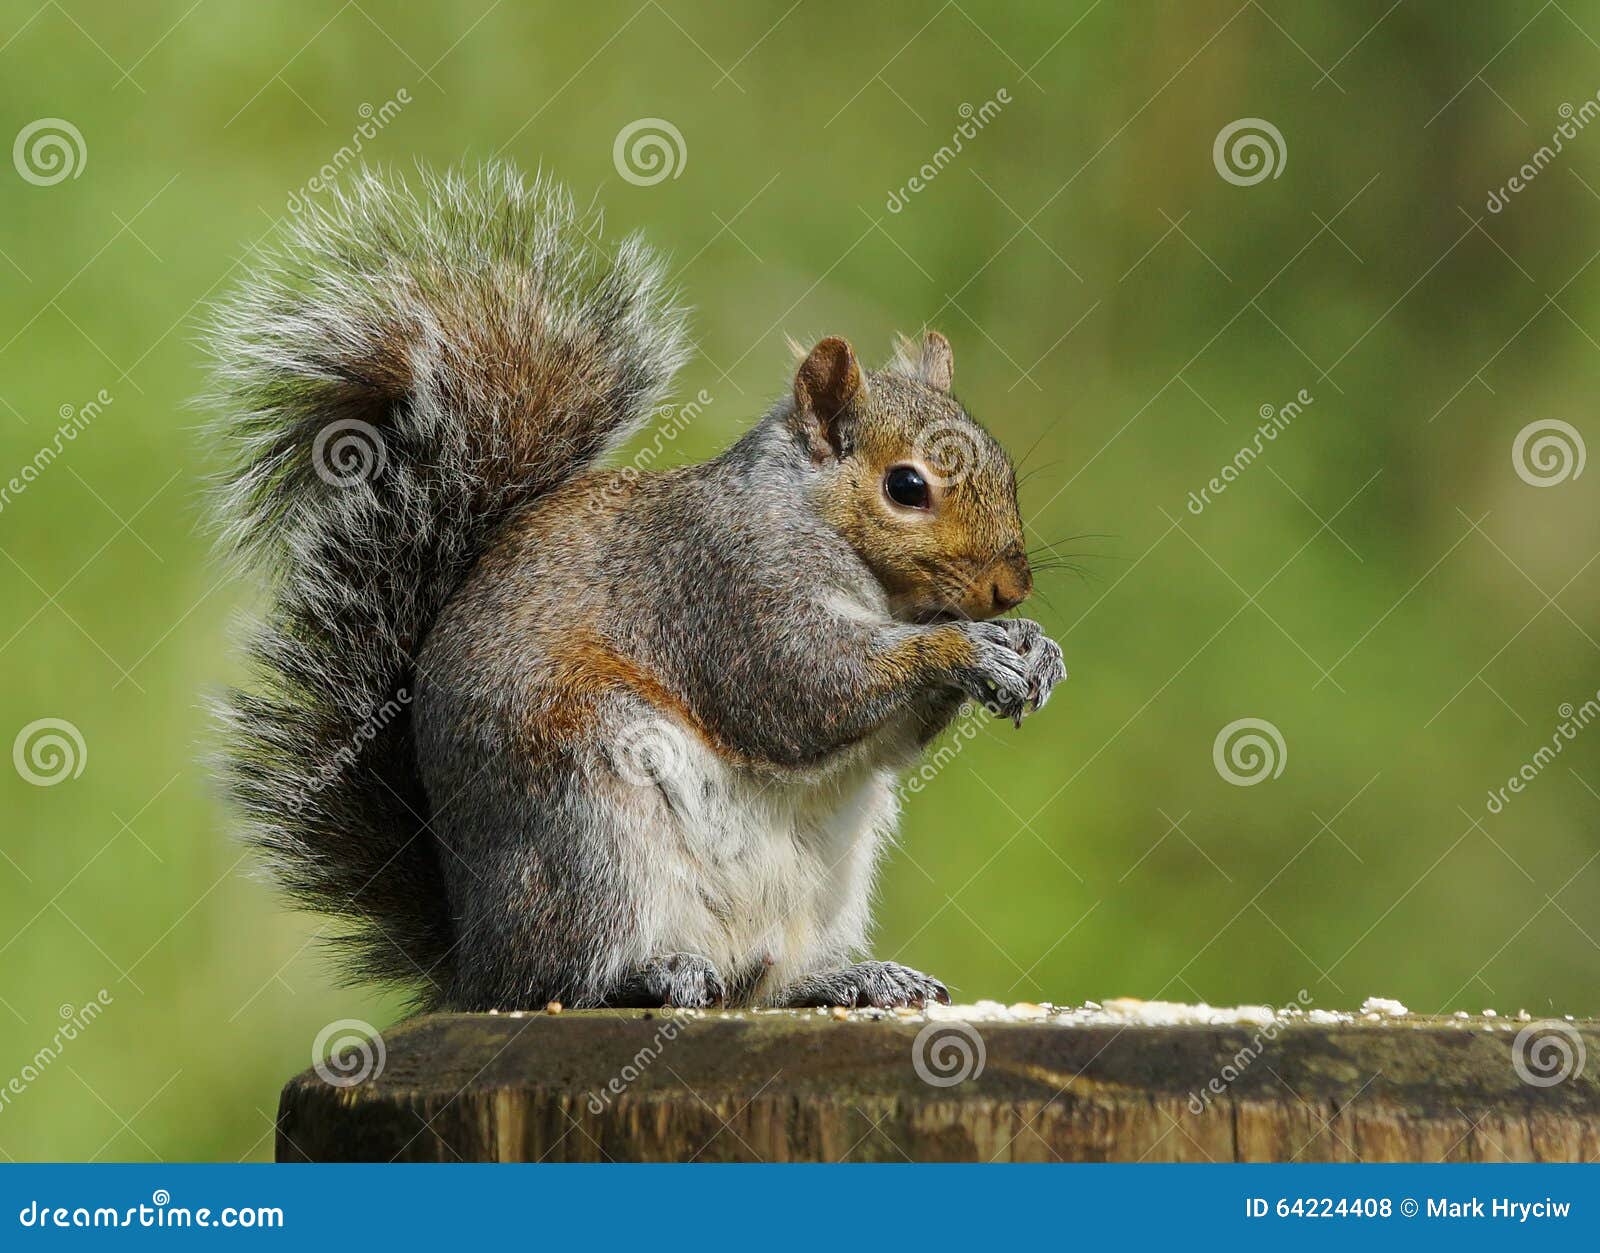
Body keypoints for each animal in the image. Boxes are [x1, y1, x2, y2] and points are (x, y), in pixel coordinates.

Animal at [206, 164, 1066, 1012]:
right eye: (906, 487)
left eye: (1004, 466)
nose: (1010, 588)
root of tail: (472, 963)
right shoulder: (724, 587)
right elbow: (800, 689)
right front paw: (965, 647)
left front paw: (1034, 650)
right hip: (589, 824)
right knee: (565, 977)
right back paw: (649, 974)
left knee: (763, 983)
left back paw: (847, 978)